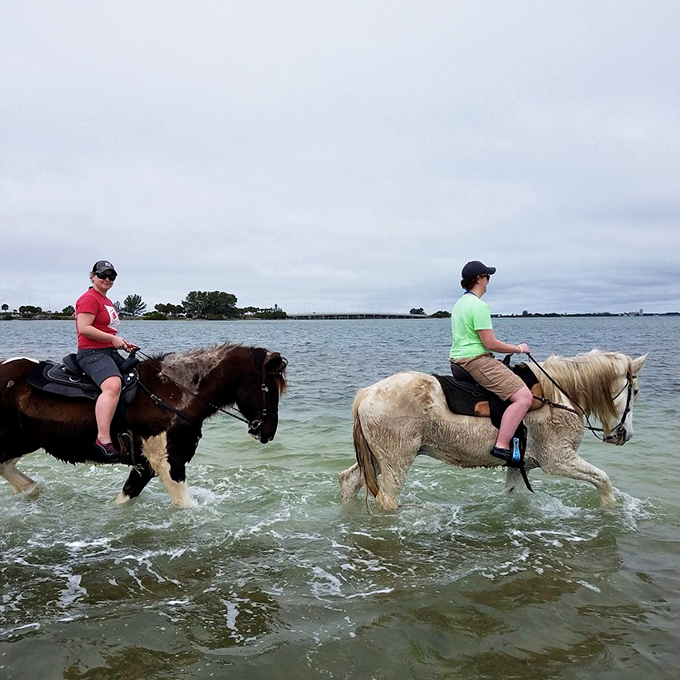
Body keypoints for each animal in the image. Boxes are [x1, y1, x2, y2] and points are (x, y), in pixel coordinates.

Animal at [0, 343, 287, 506]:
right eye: (269, 388)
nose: (268, 431)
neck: (173, 392)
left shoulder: (147, 464)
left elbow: (124, 498)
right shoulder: (168, 462)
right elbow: (184, 505)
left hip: (23, 442)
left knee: (11, 470)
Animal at [339, 350, 648, 509]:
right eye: (634, 390)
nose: (624, 435)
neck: (557, 394)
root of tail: (366, 394)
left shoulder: (522, 466)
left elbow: (513, 495)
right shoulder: (559, 460)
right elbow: (604, 480)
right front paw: (610, 511)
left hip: (376, 458)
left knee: (350, 481)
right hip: (396, 460)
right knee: (387, 500)